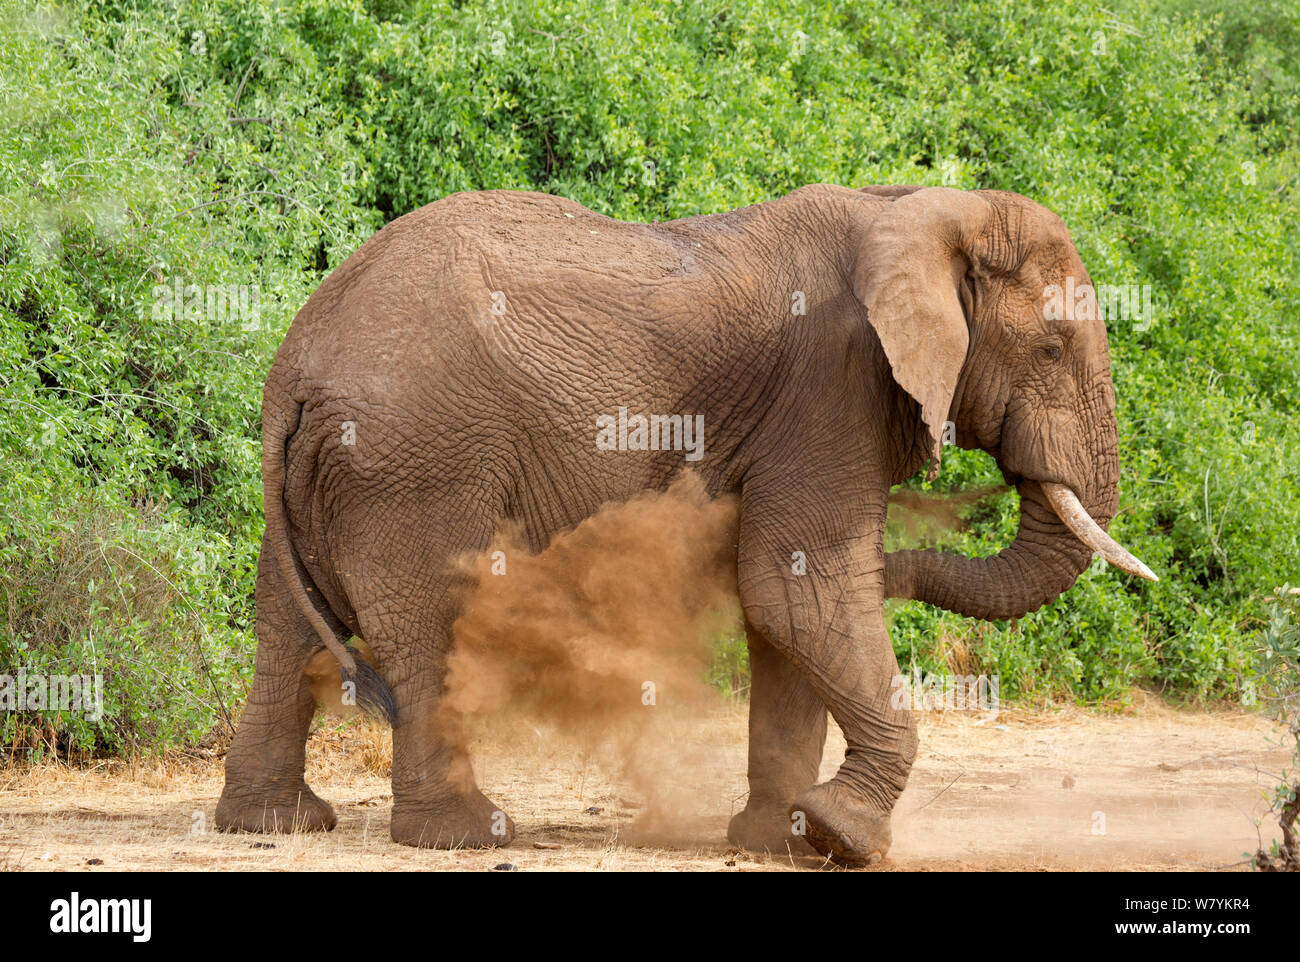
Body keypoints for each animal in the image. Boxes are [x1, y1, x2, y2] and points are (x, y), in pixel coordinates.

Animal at [214, 183, 1155, 865]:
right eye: (1052, 349)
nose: (898, 567)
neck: (921, 207)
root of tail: (294, 366)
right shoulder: (832, 388)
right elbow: (797, 590)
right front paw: (845, 837)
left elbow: (784, 610)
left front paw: (783, 840)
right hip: (414, 464)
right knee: (428, 626)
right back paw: (467, 834)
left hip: (330, 478)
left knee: (285, 625)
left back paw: (273, 824)